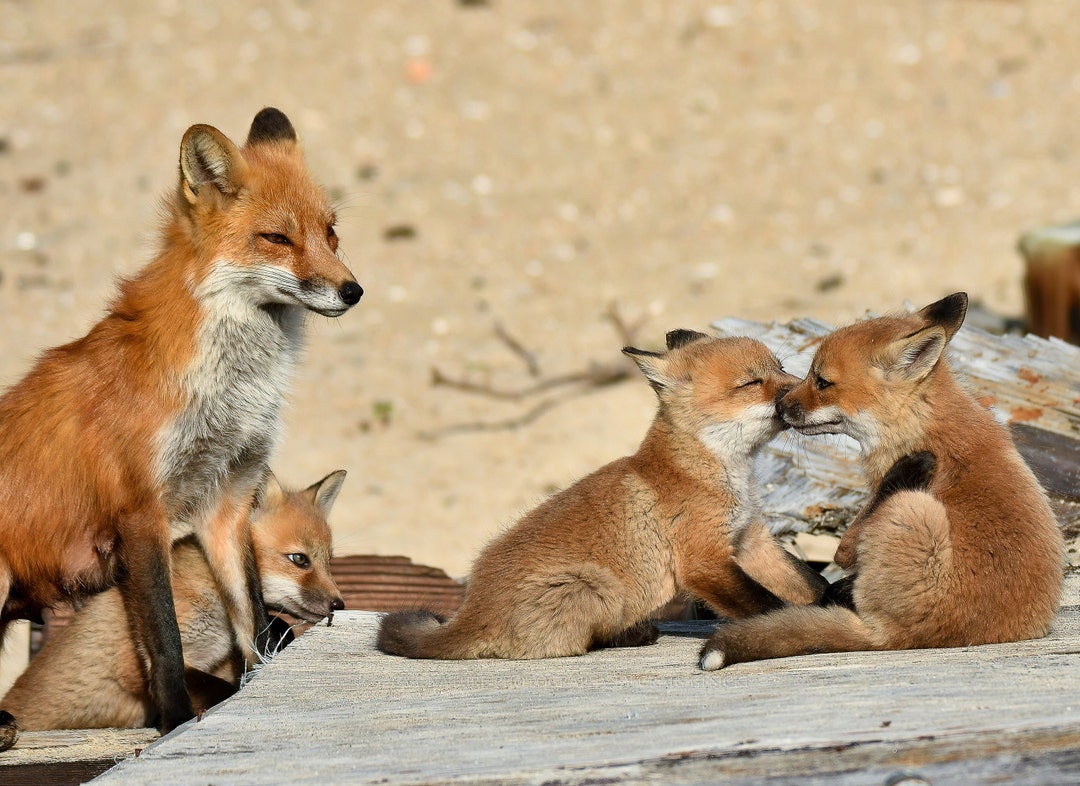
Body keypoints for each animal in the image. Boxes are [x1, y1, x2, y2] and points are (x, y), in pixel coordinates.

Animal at [377, 330, 827, 660]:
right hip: (592, 587)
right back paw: (627, 635)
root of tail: (469, 611)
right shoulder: (703, 559)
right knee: (570, 646)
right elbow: (766, 603)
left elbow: (807, 582)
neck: (714, 473)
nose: (800, 392)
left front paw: (829, 601)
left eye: (781, 367)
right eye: (751, 383)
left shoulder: (750, 539)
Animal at [700, 292, 1065, 671]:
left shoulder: (877, 498)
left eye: (822, 381)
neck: (920, 422)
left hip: (912, 508)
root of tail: (894, 638)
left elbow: (845, 548)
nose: (780, 407)